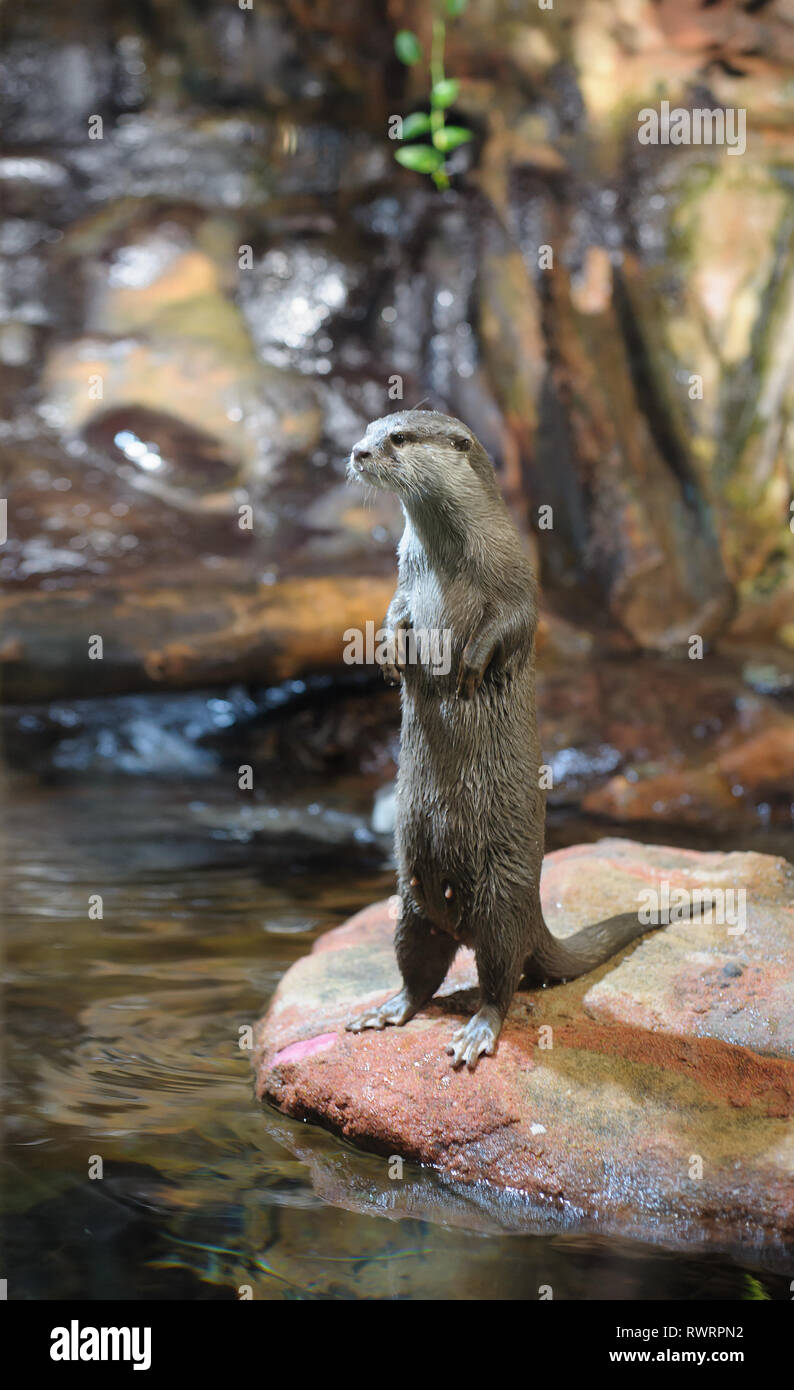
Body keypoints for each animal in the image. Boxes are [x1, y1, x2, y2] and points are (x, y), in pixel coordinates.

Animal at [345, 409, 666, 1070]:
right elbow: (394, 609)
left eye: (398, 438)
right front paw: (389, 646)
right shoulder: (403, 575)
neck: (448, 562)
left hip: (500, 900)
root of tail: (533, 914)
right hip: (410, 904)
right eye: (370, 426)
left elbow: (512, 624)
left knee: (501, 980)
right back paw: (386, 1010)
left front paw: (470, 664)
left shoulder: (519, 575)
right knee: (420, 971)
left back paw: (477, 1034)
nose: (358, 452)